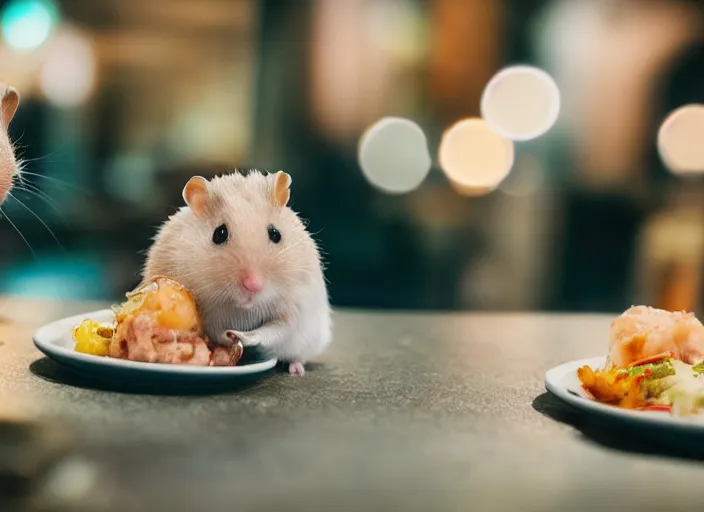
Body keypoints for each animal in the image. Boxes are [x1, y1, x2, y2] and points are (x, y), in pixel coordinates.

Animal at [143, 169, 332, 376]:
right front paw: (228, 336)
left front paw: (240, 335)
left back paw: (296, 370)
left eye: (275, 234)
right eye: (219, 234)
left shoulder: (296, 308)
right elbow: (214, 329)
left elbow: (273, 330)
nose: (253, 285)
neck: (243, 308)